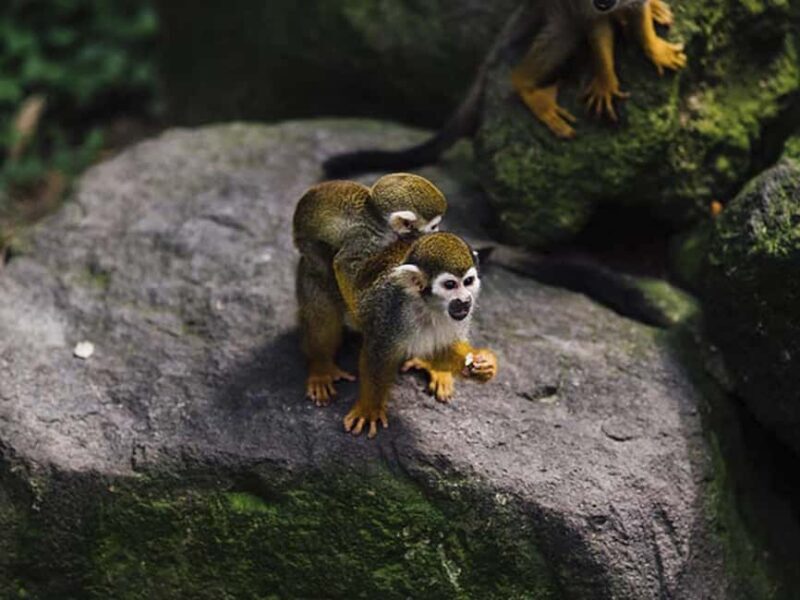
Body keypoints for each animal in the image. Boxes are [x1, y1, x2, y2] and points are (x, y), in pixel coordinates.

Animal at [293, 173, 447, 406]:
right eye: (433, 226)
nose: (438, 231)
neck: (379, 220)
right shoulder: (368, 238)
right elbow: (344, 264)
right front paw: (359, 315)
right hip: (310, 251)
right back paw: (321, 366)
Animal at [323, 0, 685, 177]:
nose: (605, 1)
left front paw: (651, 44)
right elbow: (591, 24)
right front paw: (606, 78)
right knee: (565, 30)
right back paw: (525, 86)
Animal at [341, 232, 497, 438]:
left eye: (468, 282)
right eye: (450, 285)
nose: (465, 300)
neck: (428, 306)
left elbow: (447, 345)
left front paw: (484, 366)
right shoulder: (391, 309)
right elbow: (377, 354)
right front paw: (369, 409)